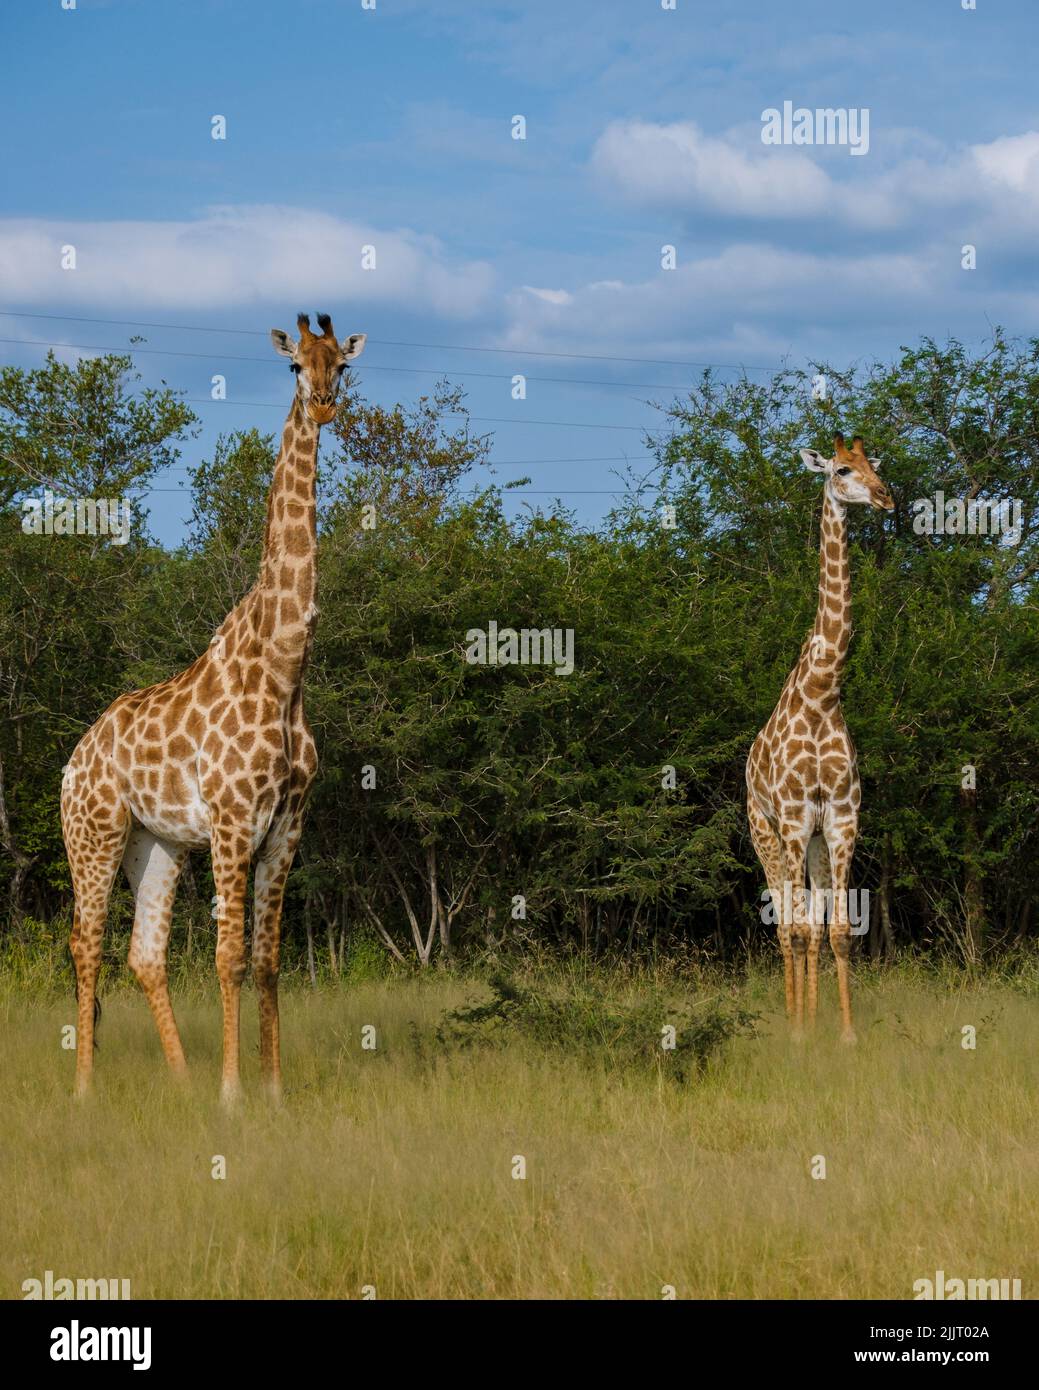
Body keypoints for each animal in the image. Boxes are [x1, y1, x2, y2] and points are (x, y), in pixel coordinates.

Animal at [61, 312, 366, 1103]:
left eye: (342, 365)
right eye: (293, 366)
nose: (324, 404)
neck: (284, 668)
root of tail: (73, 760)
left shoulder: (286, 825)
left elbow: (267, 960)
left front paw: (270, 1090)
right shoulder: (232, 821)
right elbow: (229, 957)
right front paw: (233, 1096)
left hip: (157, 843)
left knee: (144, 953)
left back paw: (180, 1082)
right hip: (94, 833)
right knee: (85, 944)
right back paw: (86, 1088)